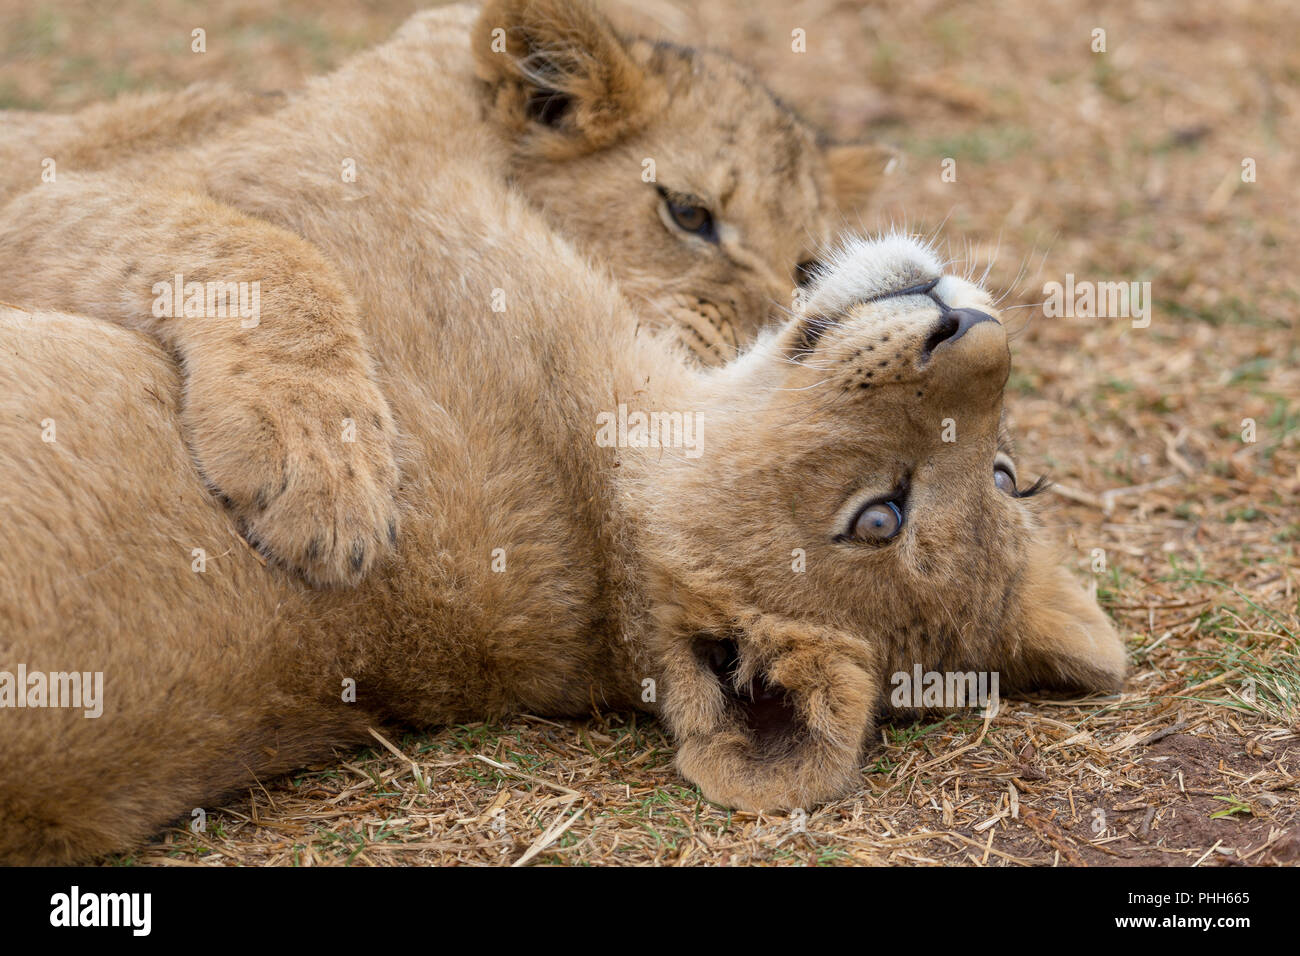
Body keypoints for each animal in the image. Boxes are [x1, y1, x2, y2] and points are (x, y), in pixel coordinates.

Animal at [0, 0, 892, 589]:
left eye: (806, 267)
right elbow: (260, 246)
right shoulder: (42, 202)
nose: (788, 335)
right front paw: (322, 469)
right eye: (689, 213)